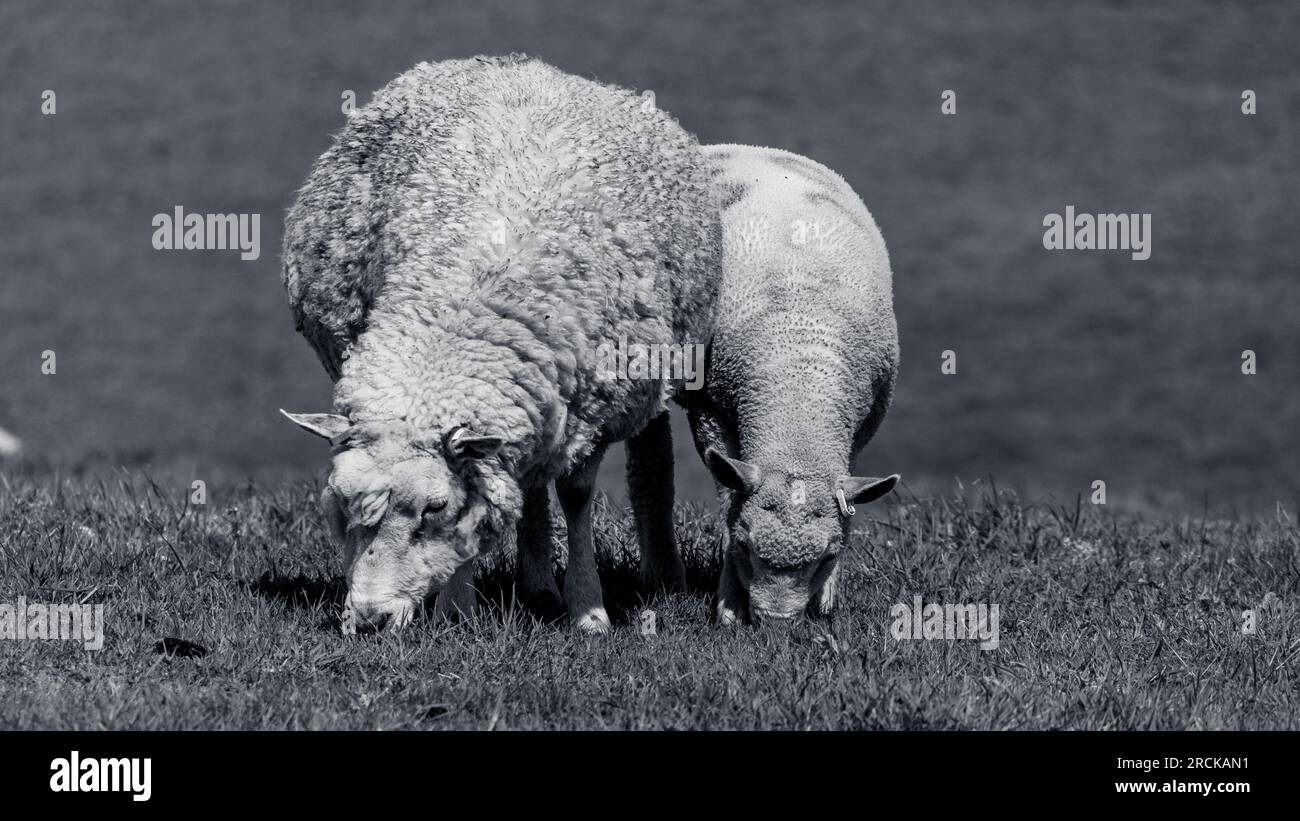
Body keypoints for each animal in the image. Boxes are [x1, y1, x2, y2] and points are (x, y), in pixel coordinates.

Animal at [280, 55, 720, 634]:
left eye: (435, 508)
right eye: (340, 505)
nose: (371, 618)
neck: (465, 303)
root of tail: (525, 65)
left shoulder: (593, 413)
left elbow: (575, 498)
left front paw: (588, 609)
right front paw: (457, 610)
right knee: (525, 481)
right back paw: (535, 583)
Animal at [684, 143, 900, 625]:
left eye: (828, 557)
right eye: (744, 545)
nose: (776, 626)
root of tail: (740, 147)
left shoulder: (859, 426)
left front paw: (827, 600)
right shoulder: (712, 411)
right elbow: (727, 500)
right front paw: (729, 605)